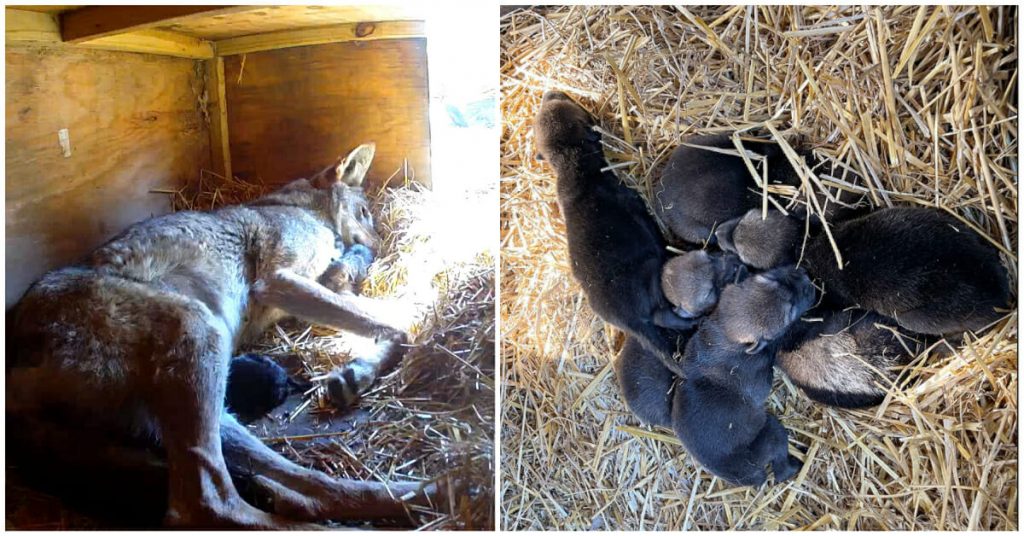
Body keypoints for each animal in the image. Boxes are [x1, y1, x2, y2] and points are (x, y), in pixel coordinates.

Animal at [6, 144, 444, 528]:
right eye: (366, 213)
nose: (381, 246)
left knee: (310, 487)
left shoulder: (318, 284)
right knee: (207, 506)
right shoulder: (280, 281)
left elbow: (393, 324)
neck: (297, 208)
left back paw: (428, 493)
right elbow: (398, 327)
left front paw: (357, 371)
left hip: (210, 409)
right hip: (199, 335)